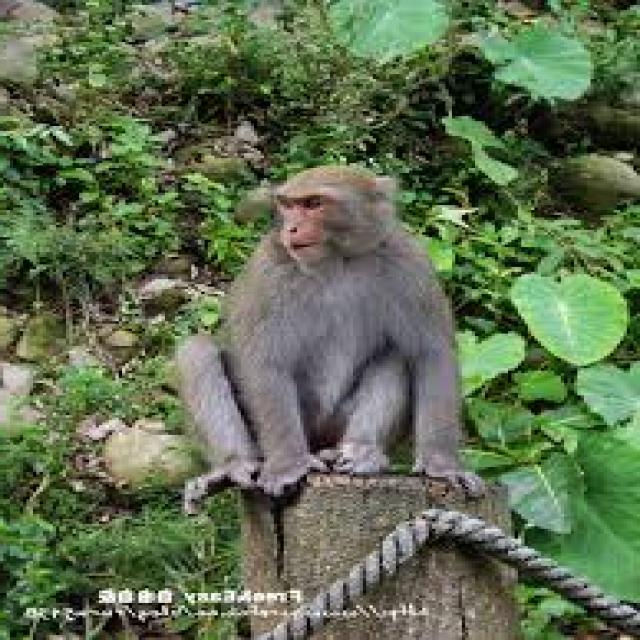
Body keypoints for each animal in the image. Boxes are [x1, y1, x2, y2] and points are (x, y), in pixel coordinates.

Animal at [176, 166, 484, 507]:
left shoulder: (410, 262)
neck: (337, 261)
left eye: (313, 204)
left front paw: (442, 465)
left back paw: (361, 451)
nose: (292, 228)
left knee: (395, 354)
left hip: (336, 426)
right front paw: (288, 465)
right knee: (196, 351)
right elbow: (265, 363)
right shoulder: (270, 270)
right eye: (288, 205)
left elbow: (430, 354)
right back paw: (234, 466)